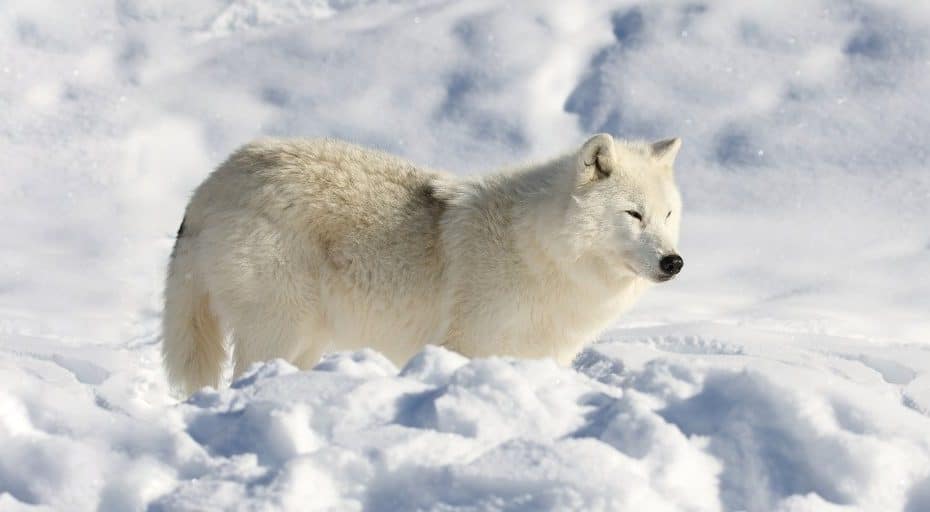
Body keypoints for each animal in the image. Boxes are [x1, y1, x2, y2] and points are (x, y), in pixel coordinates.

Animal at [163, 133, 684, 395]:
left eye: (667, 215)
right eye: (633, 214)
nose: (674, 262)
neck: (540, 250)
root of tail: (212, 182)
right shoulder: (468, 346)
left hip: (308, 340)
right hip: (280, 330)